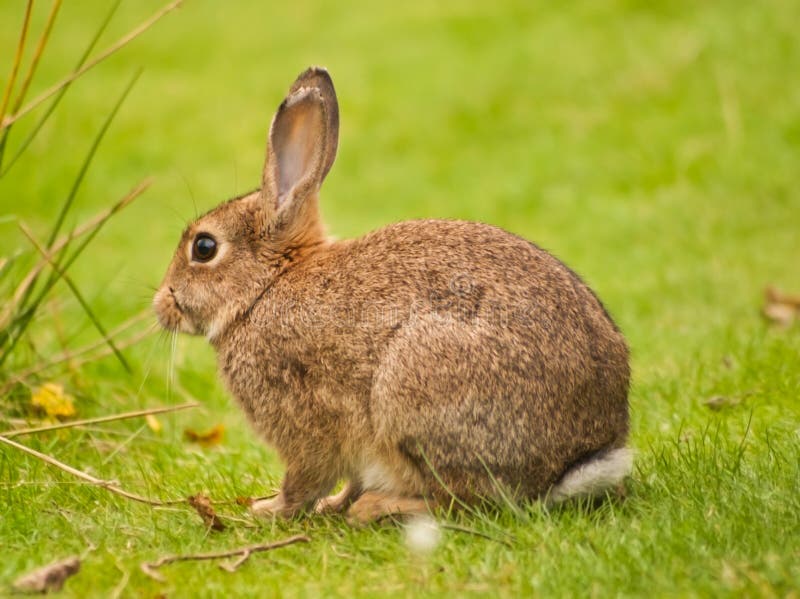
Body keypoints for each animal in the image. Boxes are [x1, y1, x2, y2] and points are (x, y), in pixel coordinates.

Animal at [153, 66, 631, 523]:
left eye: (204, 247)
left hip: (415, 392)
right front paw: (326, 506)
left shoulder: (306, 422)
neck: (265, 288)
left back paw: (376, 510)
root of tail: (572, 463)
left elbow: (306, 479)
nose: (161, 305)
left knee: (468, 501)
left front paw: (269, 511)